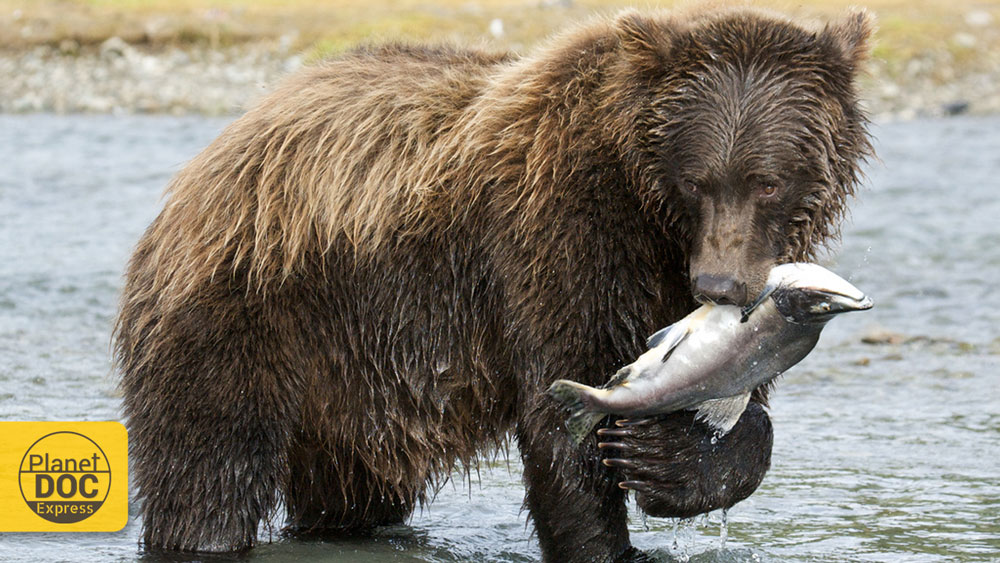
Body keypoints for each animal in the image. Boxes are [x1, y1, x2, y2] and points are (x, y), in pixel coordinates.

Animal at [114, 7, 872, 561]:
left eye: (767, 180)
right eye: (697, 180)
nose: (720, 283)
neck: (648, 216)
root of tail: (213, 156)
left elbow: (739, 404)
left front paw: (670, 458)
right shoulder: (555, 236)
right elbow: (559, 416)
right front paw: (610, 524)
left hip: (356, 382)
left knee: (348, 490)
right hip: (249, 311)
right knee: (209, 468)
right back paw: (202, 530)